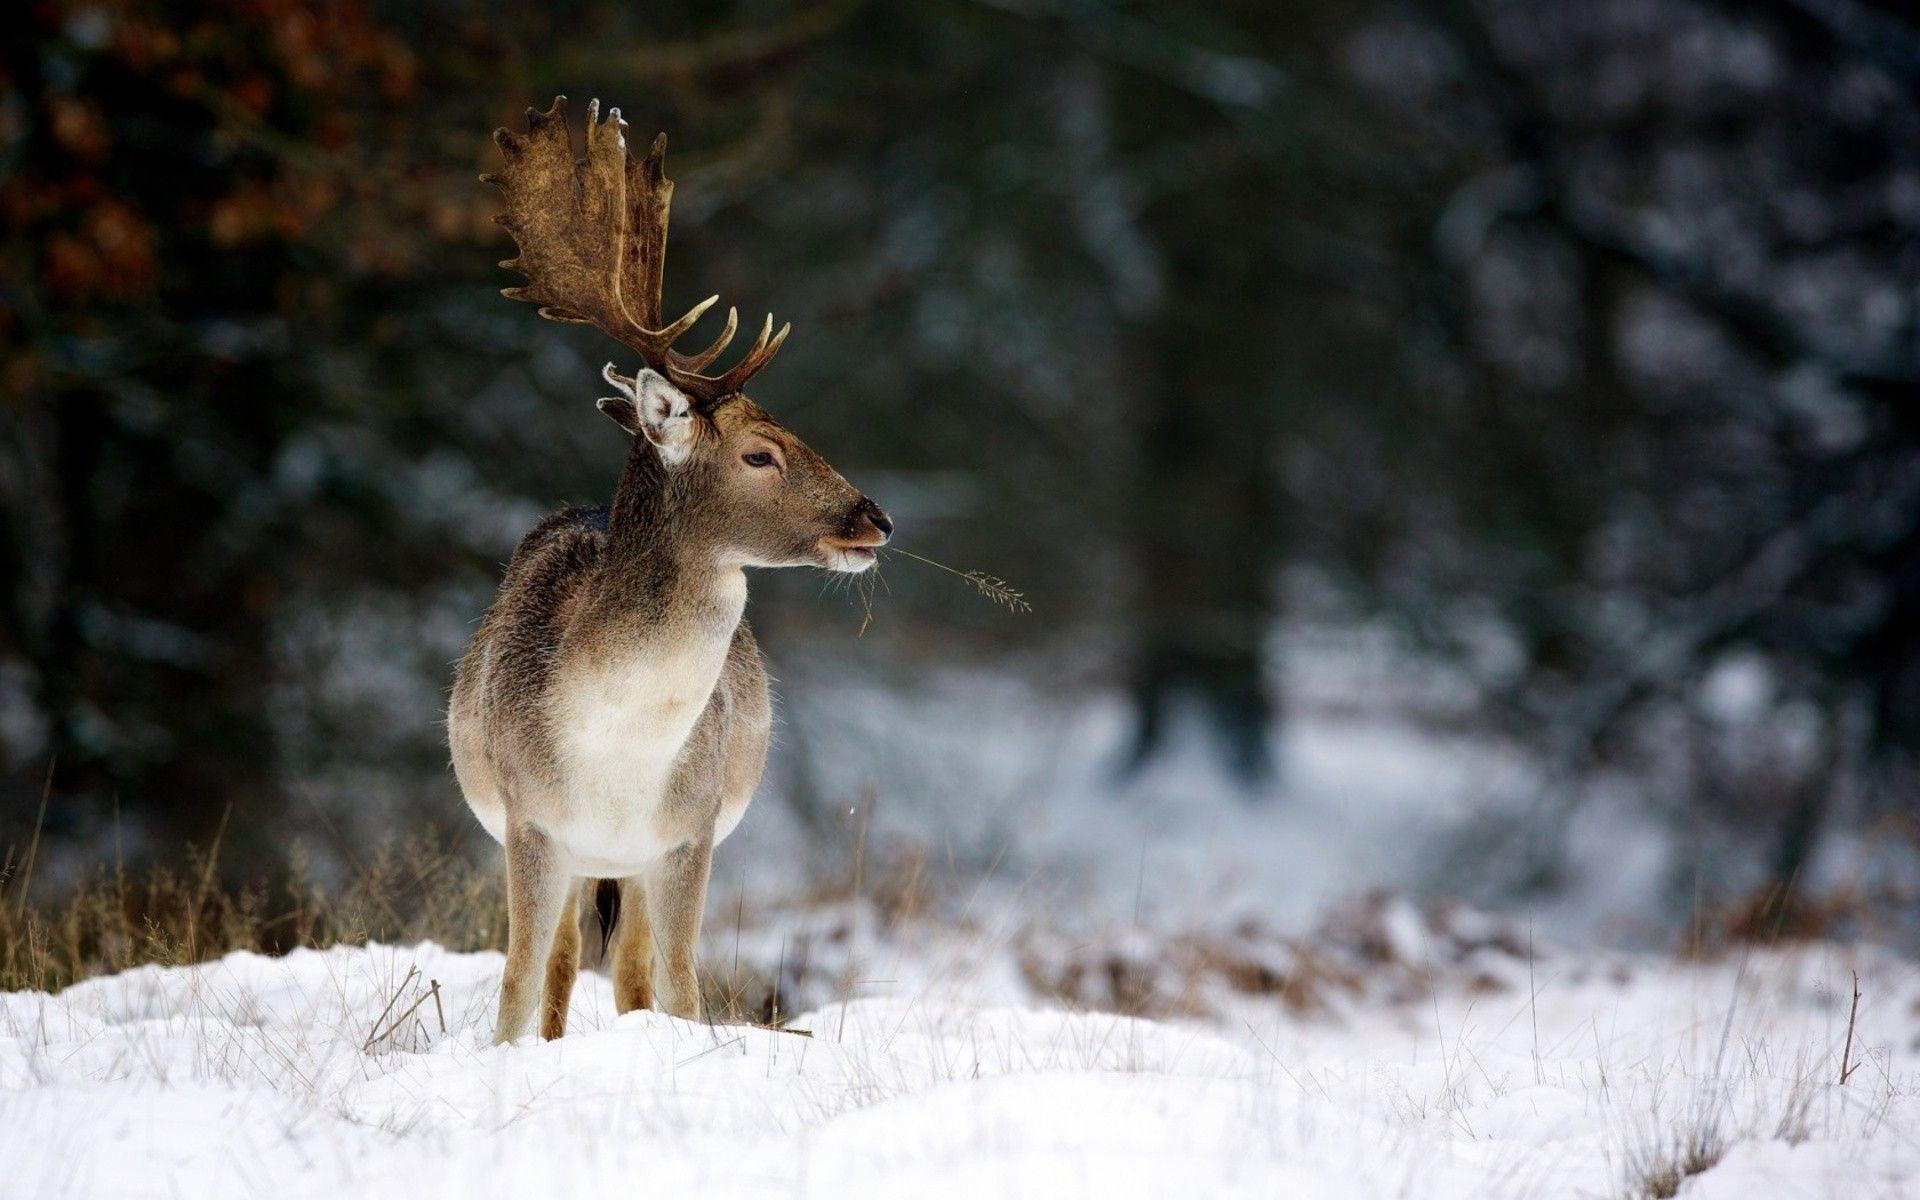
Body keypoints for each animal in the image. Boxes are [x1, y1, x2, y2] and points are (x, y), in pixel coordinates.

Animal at [449, 97, 892, 1043]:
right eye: (760, 453)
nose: (874, 518)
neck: (616, 753)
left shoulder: (690, 831)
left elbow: (683, 985)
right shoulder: (529, 821)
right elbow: (515, 980)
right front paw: (506, 1054)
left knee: (631, 970)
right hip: (571, 853)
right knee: (564, 962)